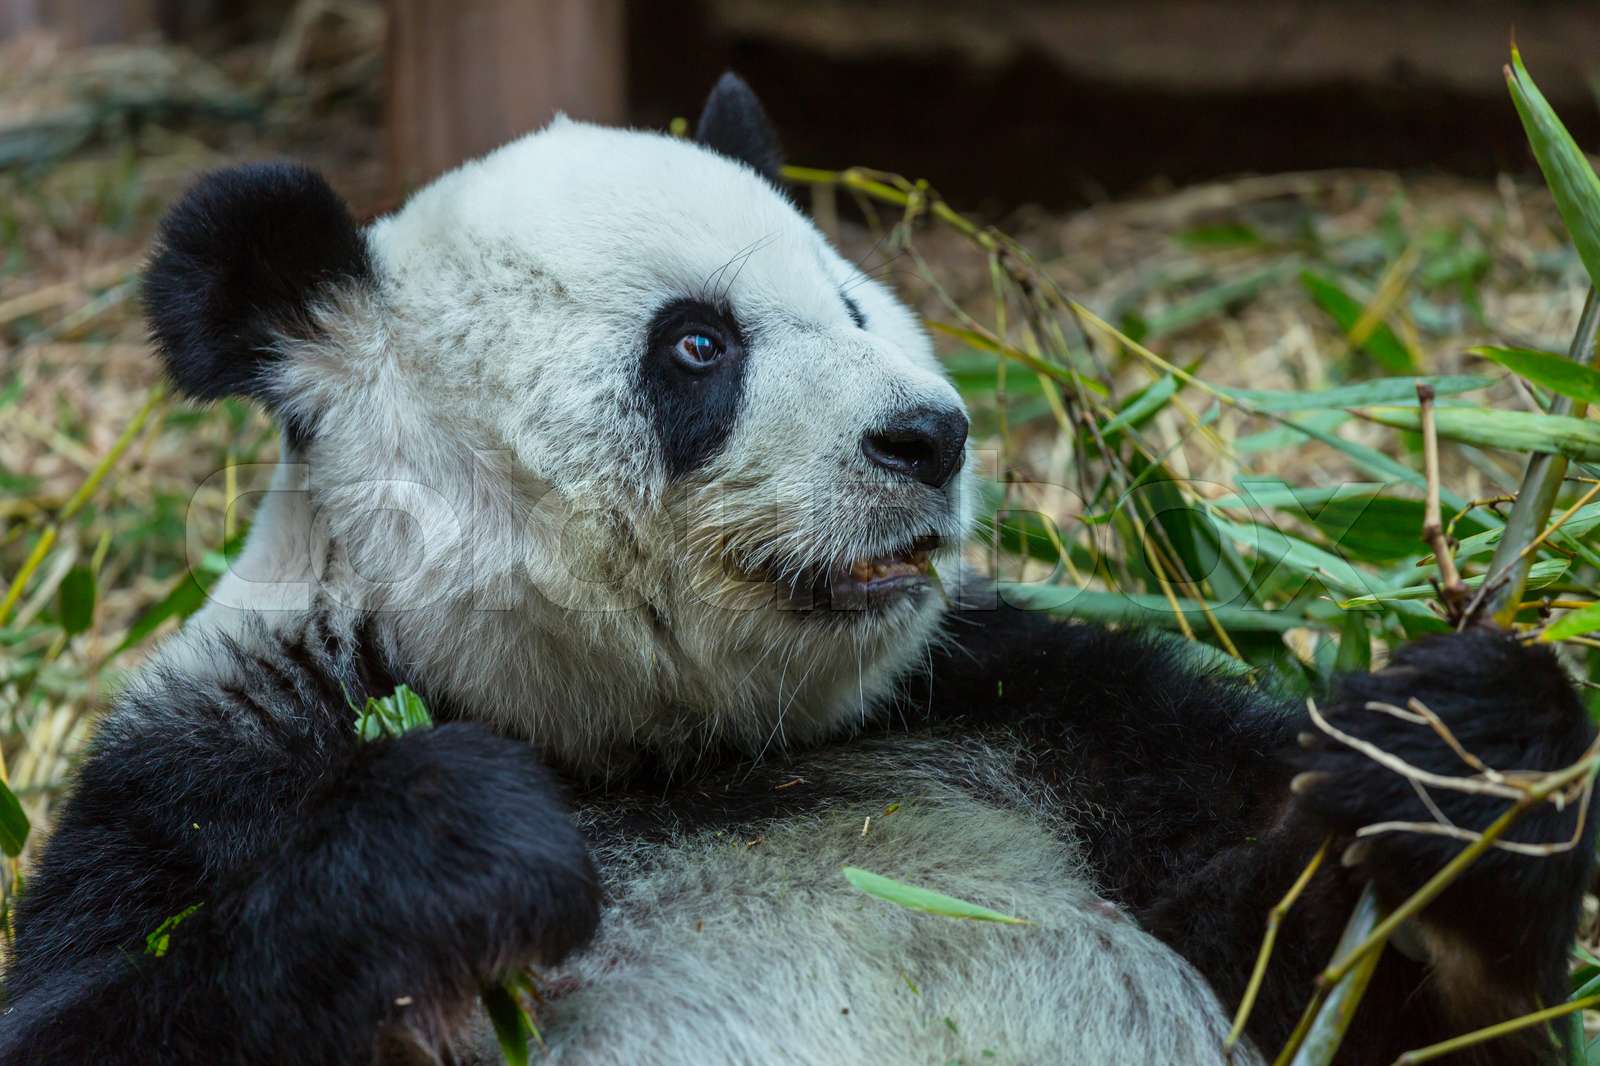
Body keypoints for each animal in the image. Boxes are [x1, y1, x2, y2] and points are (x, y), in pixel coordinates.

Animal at [2, 73, 1594, 1066]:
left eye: (851, 302)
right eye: (698, 343)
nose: (929, 435)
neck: (675, 752)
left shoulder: (1021, 704)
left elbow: (1338, 972)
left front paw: (1459, 753)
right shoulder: (203, 774)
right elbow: (109, 1009)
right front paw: (457, 839)